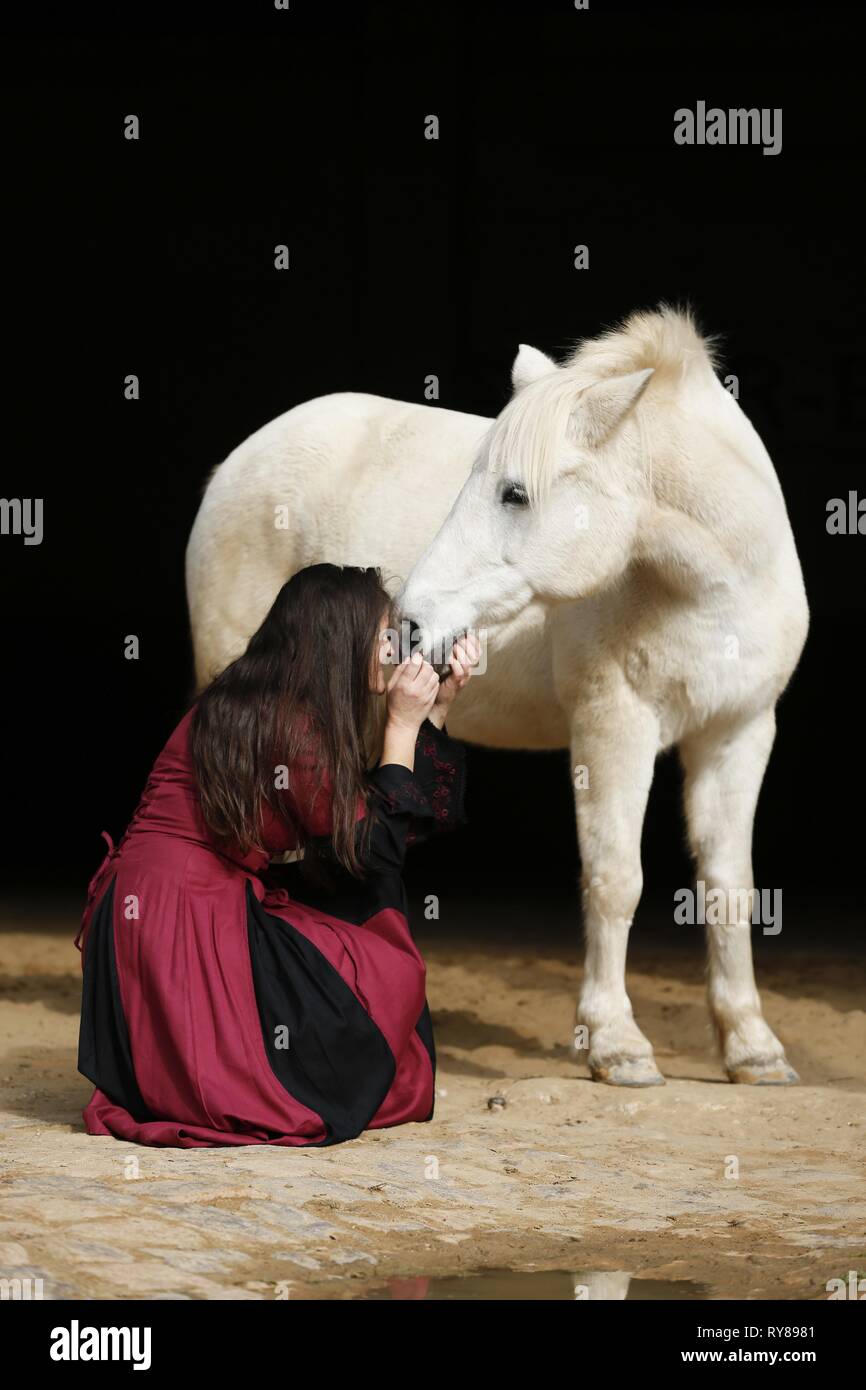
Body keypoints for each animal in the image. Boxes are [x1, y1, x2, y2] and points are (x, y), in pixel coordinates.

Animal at [186, 305, 809, 1087]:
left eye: (515, 492)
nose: (408, 623)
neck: (715, 586)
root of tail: (238, 462)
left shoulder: (740, 731)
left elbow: (729, 889)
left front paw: (754, 1049)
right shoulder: (614, 727)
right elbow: (616, 878)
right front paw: (617, 1045)